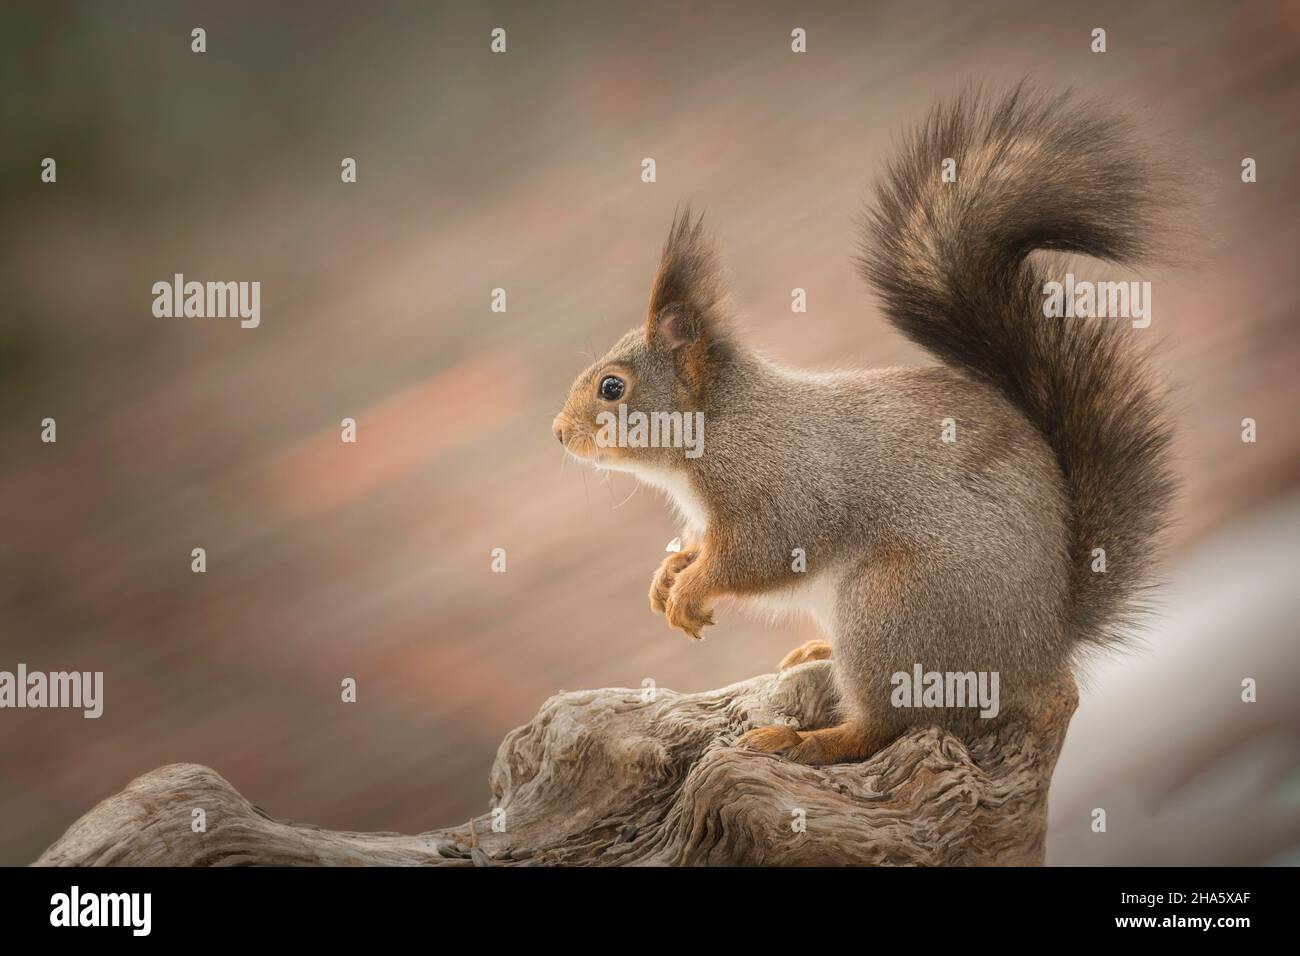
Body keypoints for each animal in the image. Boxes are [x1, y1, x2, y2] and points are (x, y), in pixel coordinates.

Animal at [552, 86, 1177, 765]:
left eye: (613, 388)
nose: (558, 432)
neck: (716, 428)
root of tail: (1040, 650)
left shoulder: (781, 490)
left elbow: (758, 553)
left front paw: (692, 587)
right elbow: (700, 544)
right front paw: (668, 575)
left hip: (890, 609)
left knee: (882, 725)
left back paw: (803, 740)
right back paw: (815, 654)